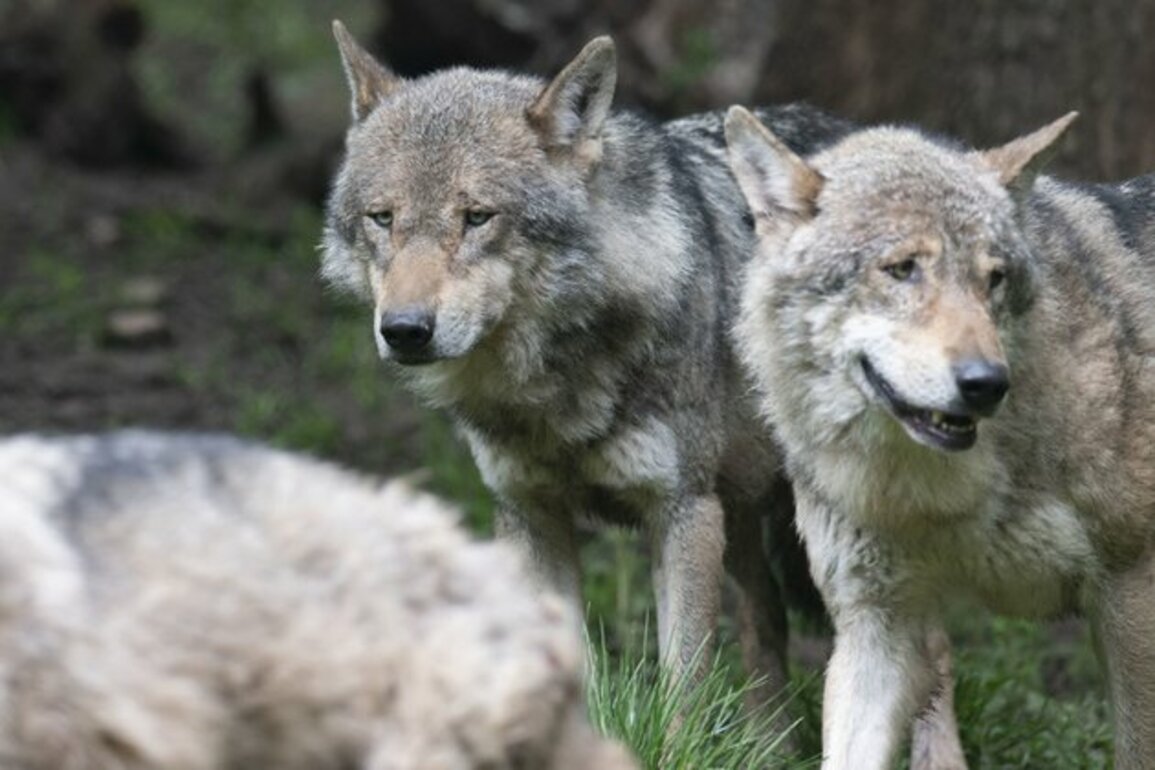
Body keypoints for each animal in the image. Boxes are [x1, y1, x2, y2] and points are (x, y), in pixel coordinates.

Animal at [319, 21, 854, 700]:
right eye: (383, 219)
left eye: (477, 218)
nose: (405, 330)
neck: (558, 385)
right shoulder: (528, 515)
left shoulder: (683, 511)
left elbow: (683, 691)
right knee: (767, 633)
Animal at [726, 104, 1155, 769]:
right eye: (902, 269)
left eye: (993, 279)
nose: (985, 383)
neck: (943, 494)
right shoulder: (877, 627)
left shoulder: (1131, 587)